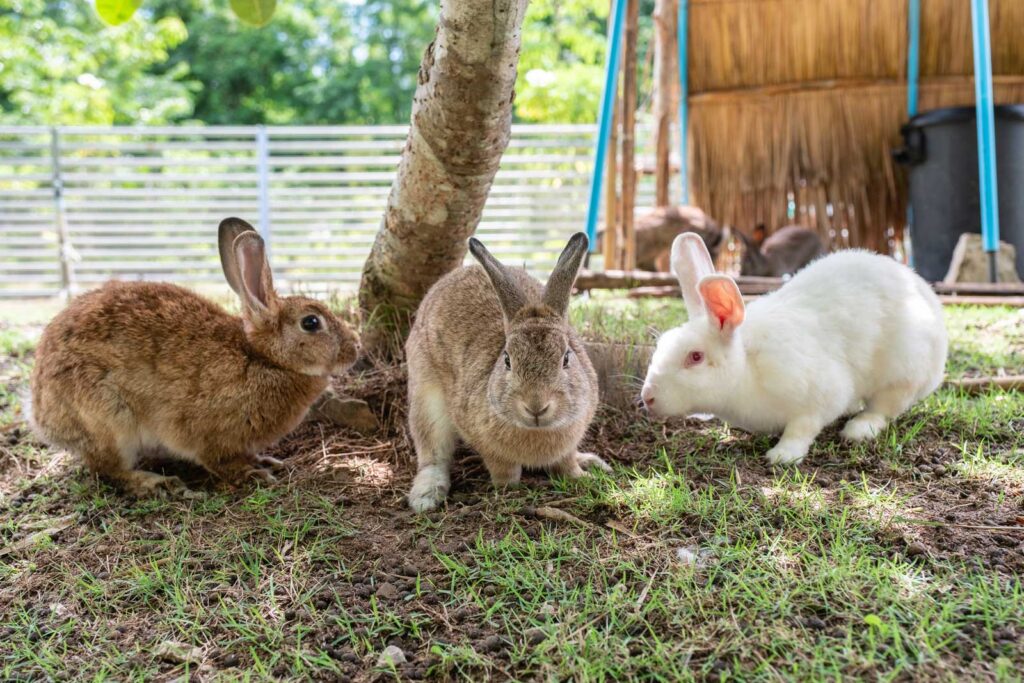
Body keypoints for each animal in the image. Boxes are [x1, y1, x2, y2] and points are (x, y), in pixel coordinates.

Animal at [28, 218, 360, 495]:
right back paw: (156, 483)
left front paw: (265, 461)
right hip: (108, 418)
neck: (263, 358)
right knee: (107, 469)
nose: (356, 347)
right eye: (311, 322)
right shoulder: (208, 432)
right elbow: (218, 460)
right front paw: (252, 474)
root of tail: (40, 412)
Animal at [405, 232, 610, 512]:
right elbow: (503, 469)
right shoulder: (483, 441)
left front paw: (581, 477)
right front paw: (509, 488)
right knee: (431, 451)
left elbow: (566, 462)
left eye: (566, 358)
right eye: (507, 360)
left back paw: (592, 462)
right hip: (426, 398)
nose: (536, 406)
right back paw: (426, 497)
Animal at [640, 232, 947, 466]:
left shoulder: (818, 397)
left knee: (884, 408)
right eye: (661, 344)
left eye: (695, 356)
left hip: (900, 374)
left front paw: (782, 455)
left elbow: (802, 428)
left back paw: (859, 428)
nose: (647, 397)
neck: (746, 366)